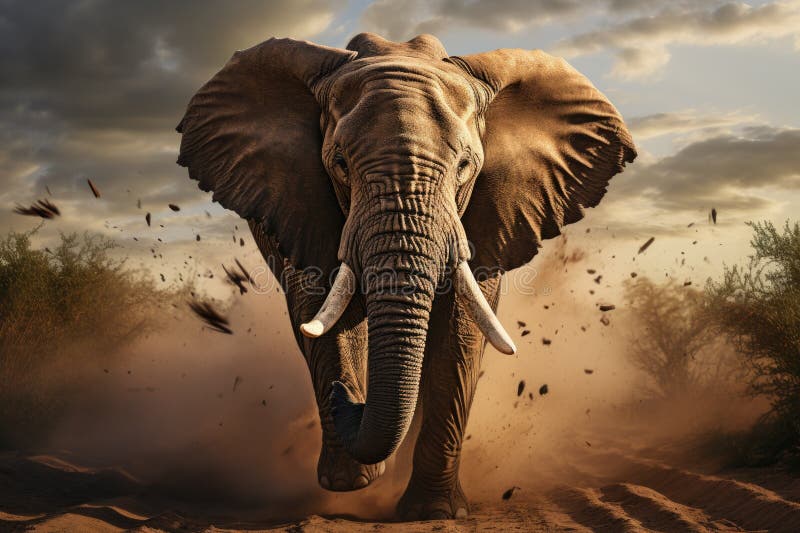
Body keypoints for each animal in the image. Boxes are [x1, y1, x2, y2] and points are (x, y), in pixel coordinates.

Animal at [176, 32, 636, 519]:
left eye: (465, 167)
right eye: (339, 163)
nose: (343, 397)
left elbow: (459, 332)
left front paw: (434, 512)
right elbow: (325, 314)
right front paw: (350, 483)